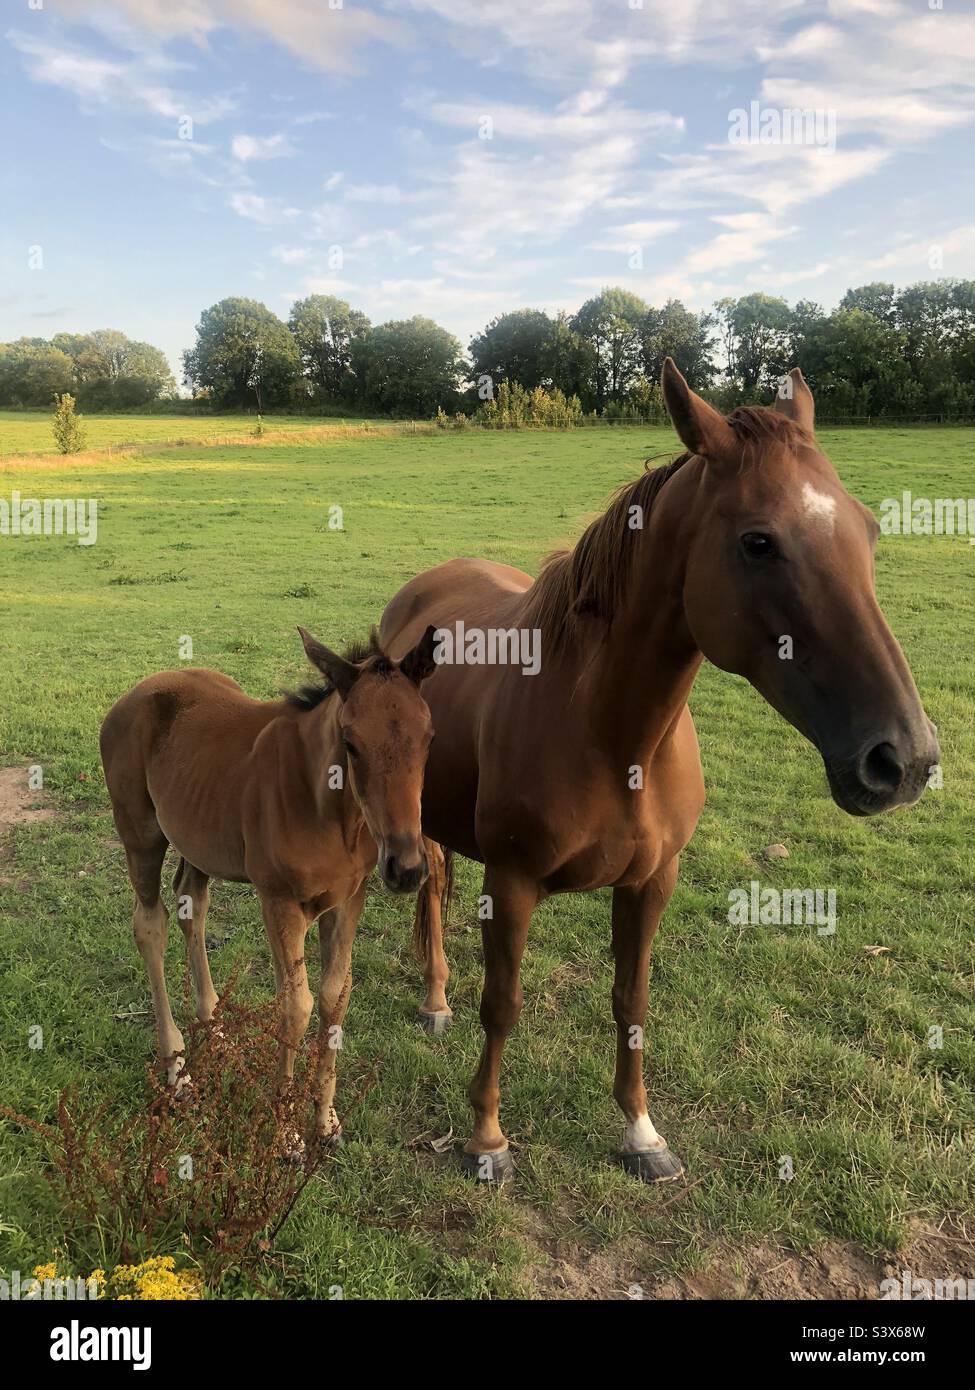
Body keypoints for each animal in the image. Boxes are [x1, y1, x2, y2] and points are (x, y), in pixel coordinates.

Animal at [100, 624, 437, 1146]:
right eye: (351, 743)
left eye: (428, 737)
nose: (406, 868)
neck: (330, 811)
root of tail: (135, 694)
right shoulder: (279, 901)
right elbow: (295, 1007)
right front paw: (286, 1135)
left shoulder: (348, 899)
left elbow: (335, 997)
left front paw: (325, 1120)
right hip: (140, 835)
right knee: (150, 925)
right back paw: (177, 1068)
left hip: (200, 839)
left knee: (192, 904)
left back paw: (214, 1028)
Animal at [379, 361, 940, 1183]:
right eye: (758, 542)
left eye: (866, 529)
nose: (905, 759)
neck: (614, 736)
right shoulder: (512, 883)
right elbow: (503, 1004)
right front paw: (487, 1138)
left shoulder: (652, 882)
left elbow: (632, 1001)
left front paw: (640, 1133)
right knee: (430, 889)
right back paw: (434, 1001)